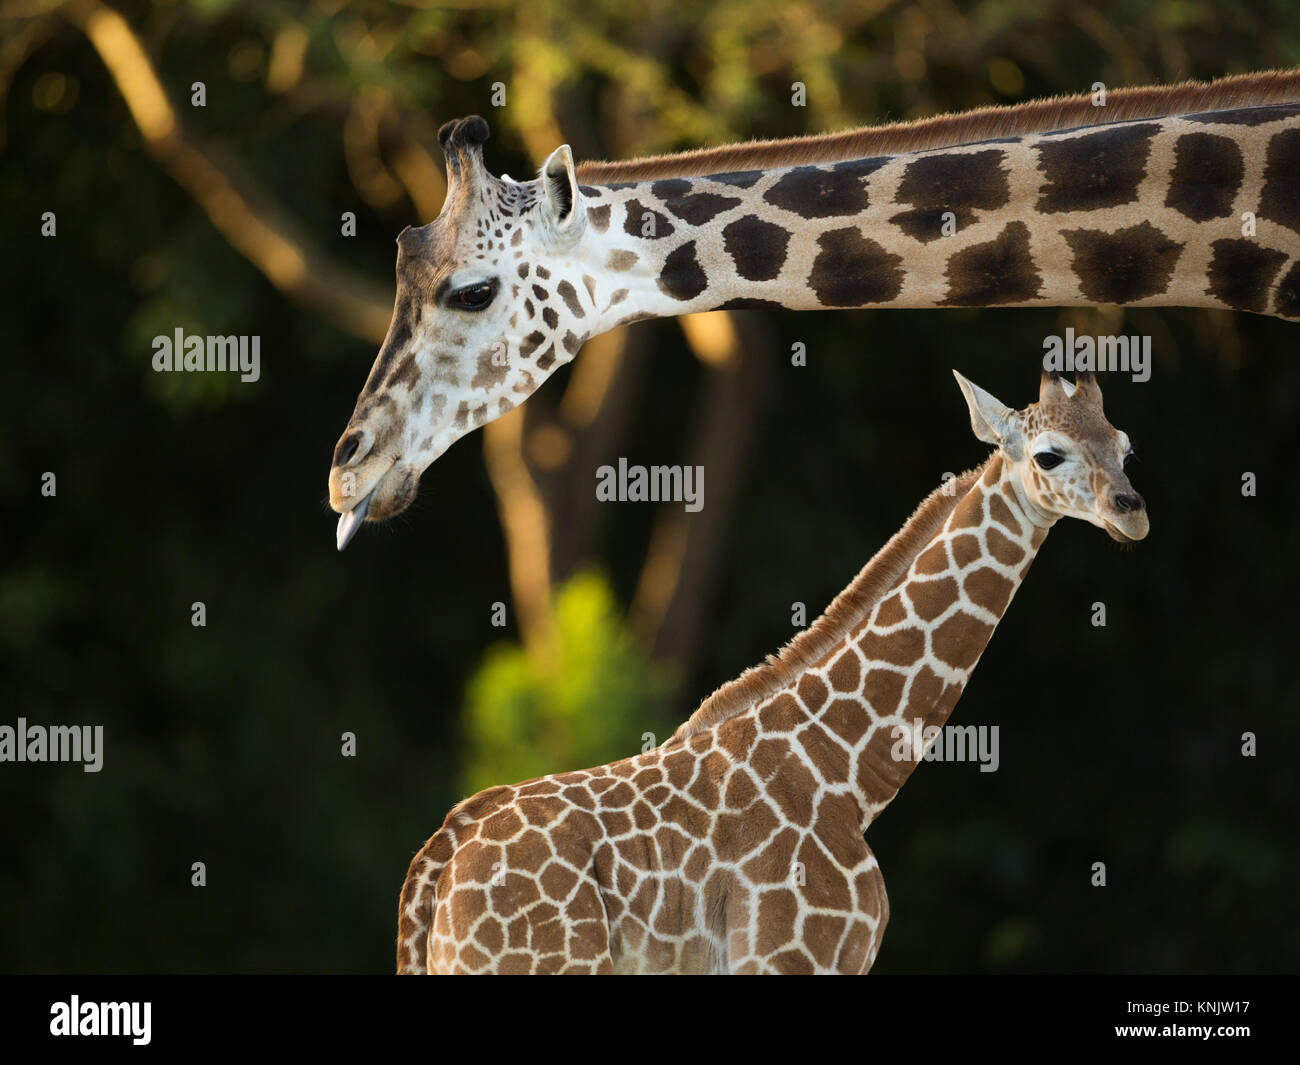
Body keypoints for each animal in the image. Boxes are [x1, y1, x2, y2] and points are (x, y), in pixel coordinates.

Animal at [396, 367, 1147, 974]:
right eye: (1049, 454)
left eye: (1126, 447)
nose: (1131, 512)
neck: (848, 771)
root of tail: (438, 866)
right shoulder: (790, 956)